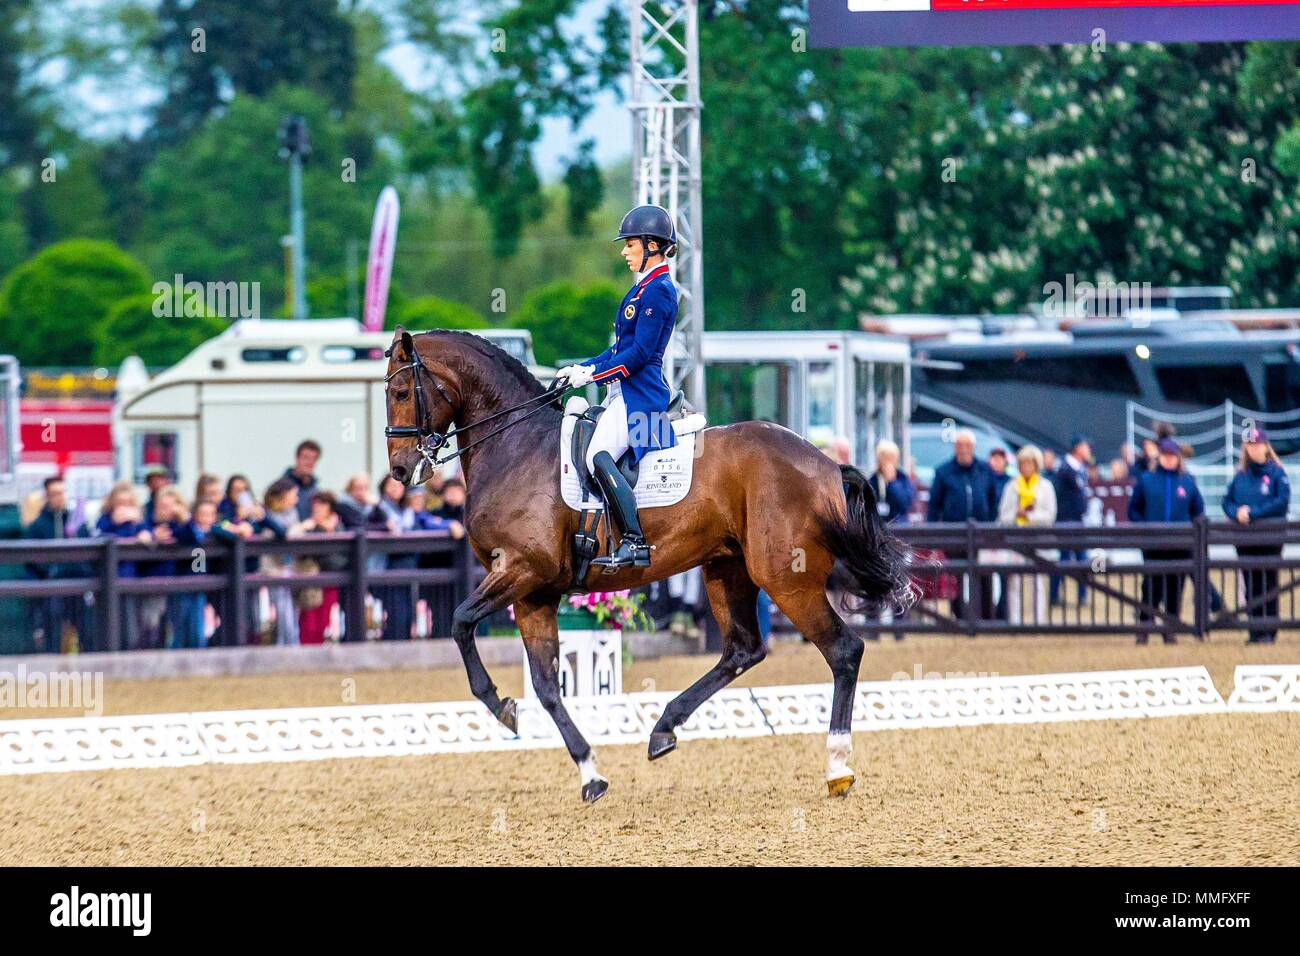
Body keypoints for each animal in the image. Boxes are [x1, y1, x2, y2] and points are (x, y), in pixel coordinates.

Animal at [383, 327, 912, 803]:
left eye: (401, 392)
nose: (400, 471)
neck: (516, 448)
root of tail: (824, 465)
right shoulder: (535, 592)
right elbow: (547, 685)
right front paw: (590, 773)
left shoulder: (520, 570)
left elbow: (460, 622)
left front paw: (500, 706)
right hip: (727, 569)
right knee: (743, 650)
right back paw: (663, 729)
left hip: (787, 578)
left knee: (843, 650)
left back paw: (837, 767)